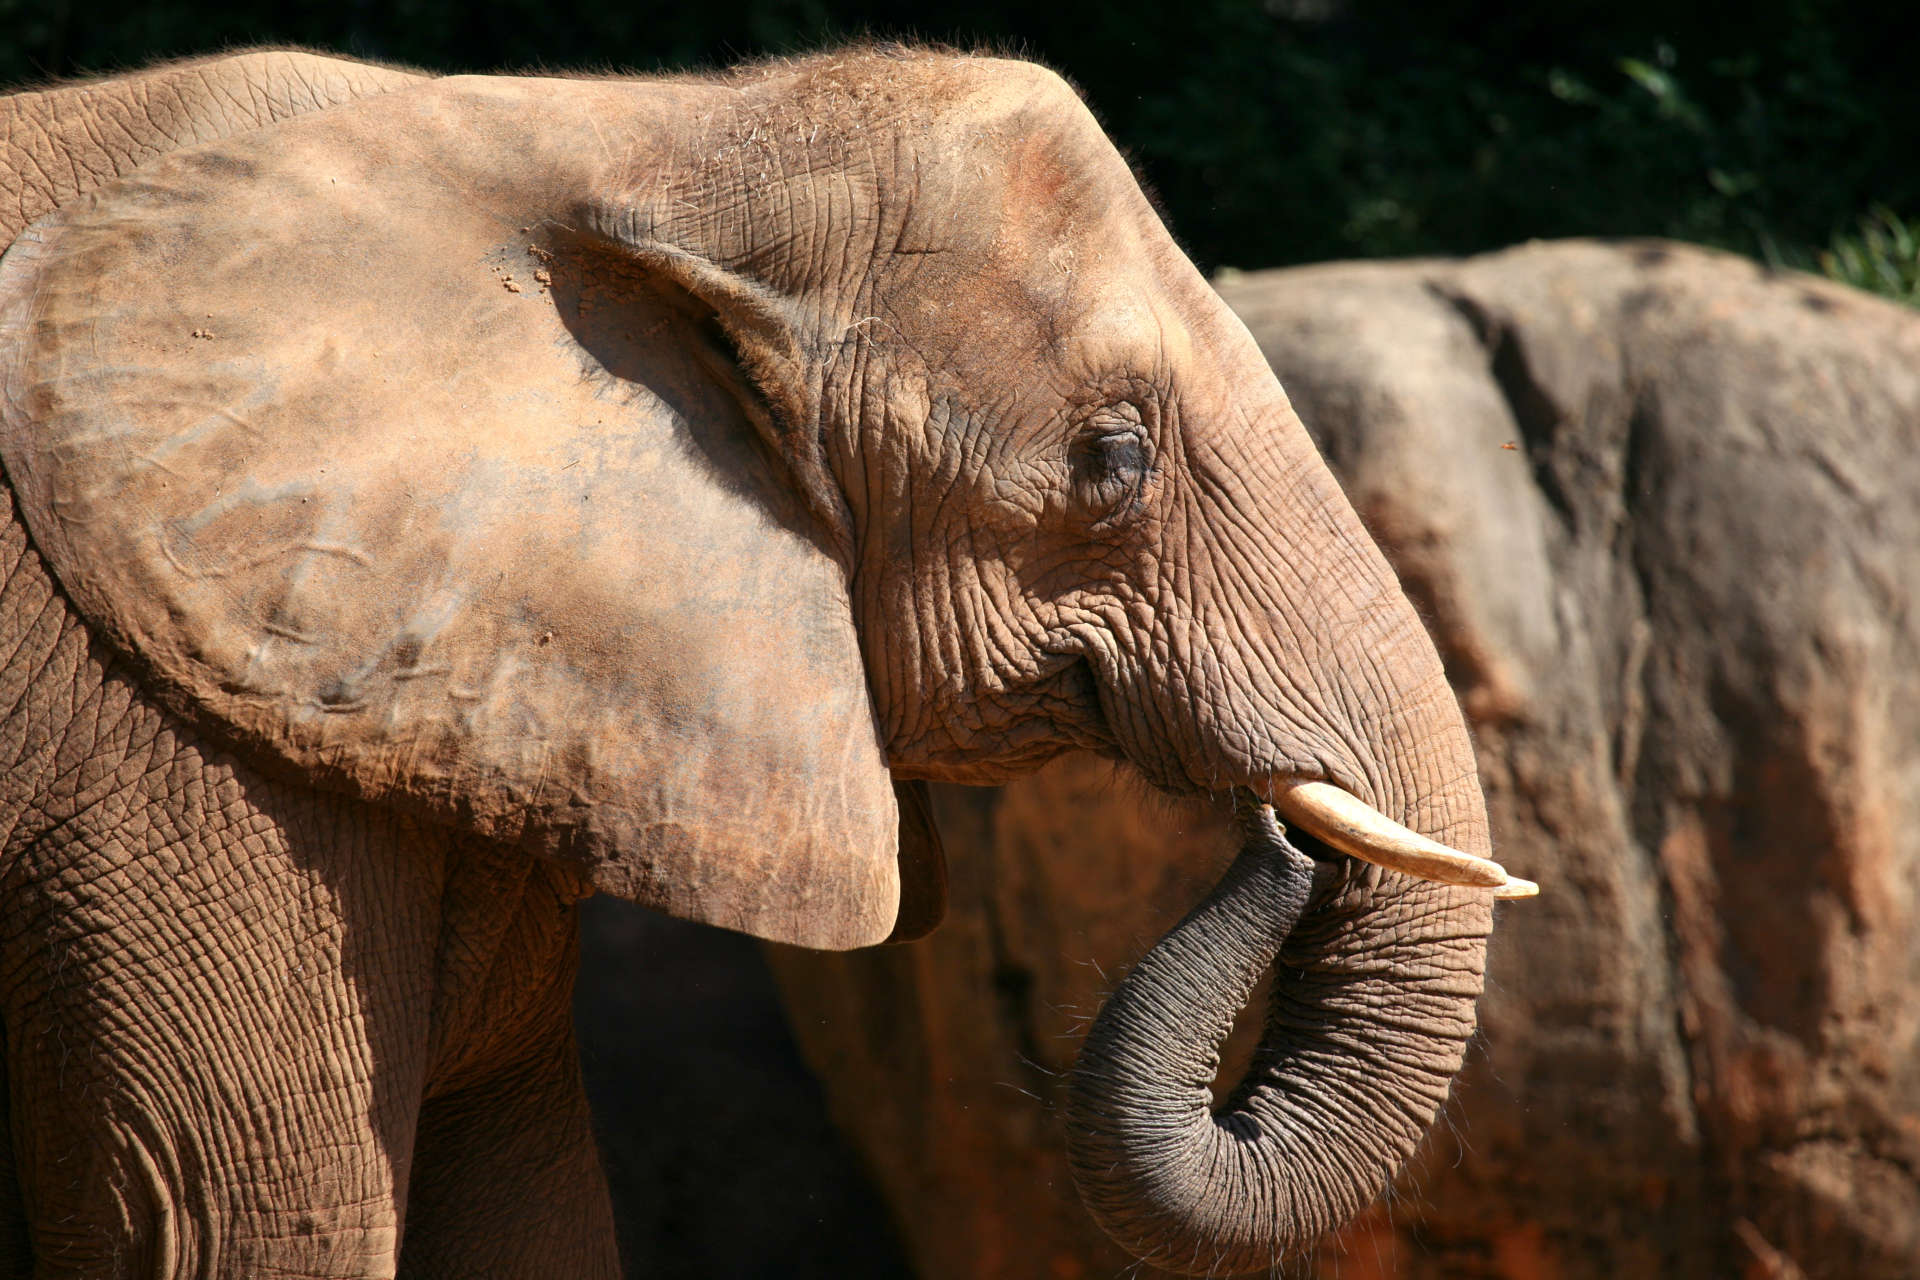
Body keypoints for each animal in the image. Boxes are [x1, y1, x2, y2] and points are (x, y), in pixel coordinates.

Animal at [0, 45, 1530, 1277]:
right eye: (1112, 459)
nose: (1281, 832)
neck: (662, 137)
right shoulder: (169, 740)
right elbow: (237, 1217)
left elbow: (524, 1197)